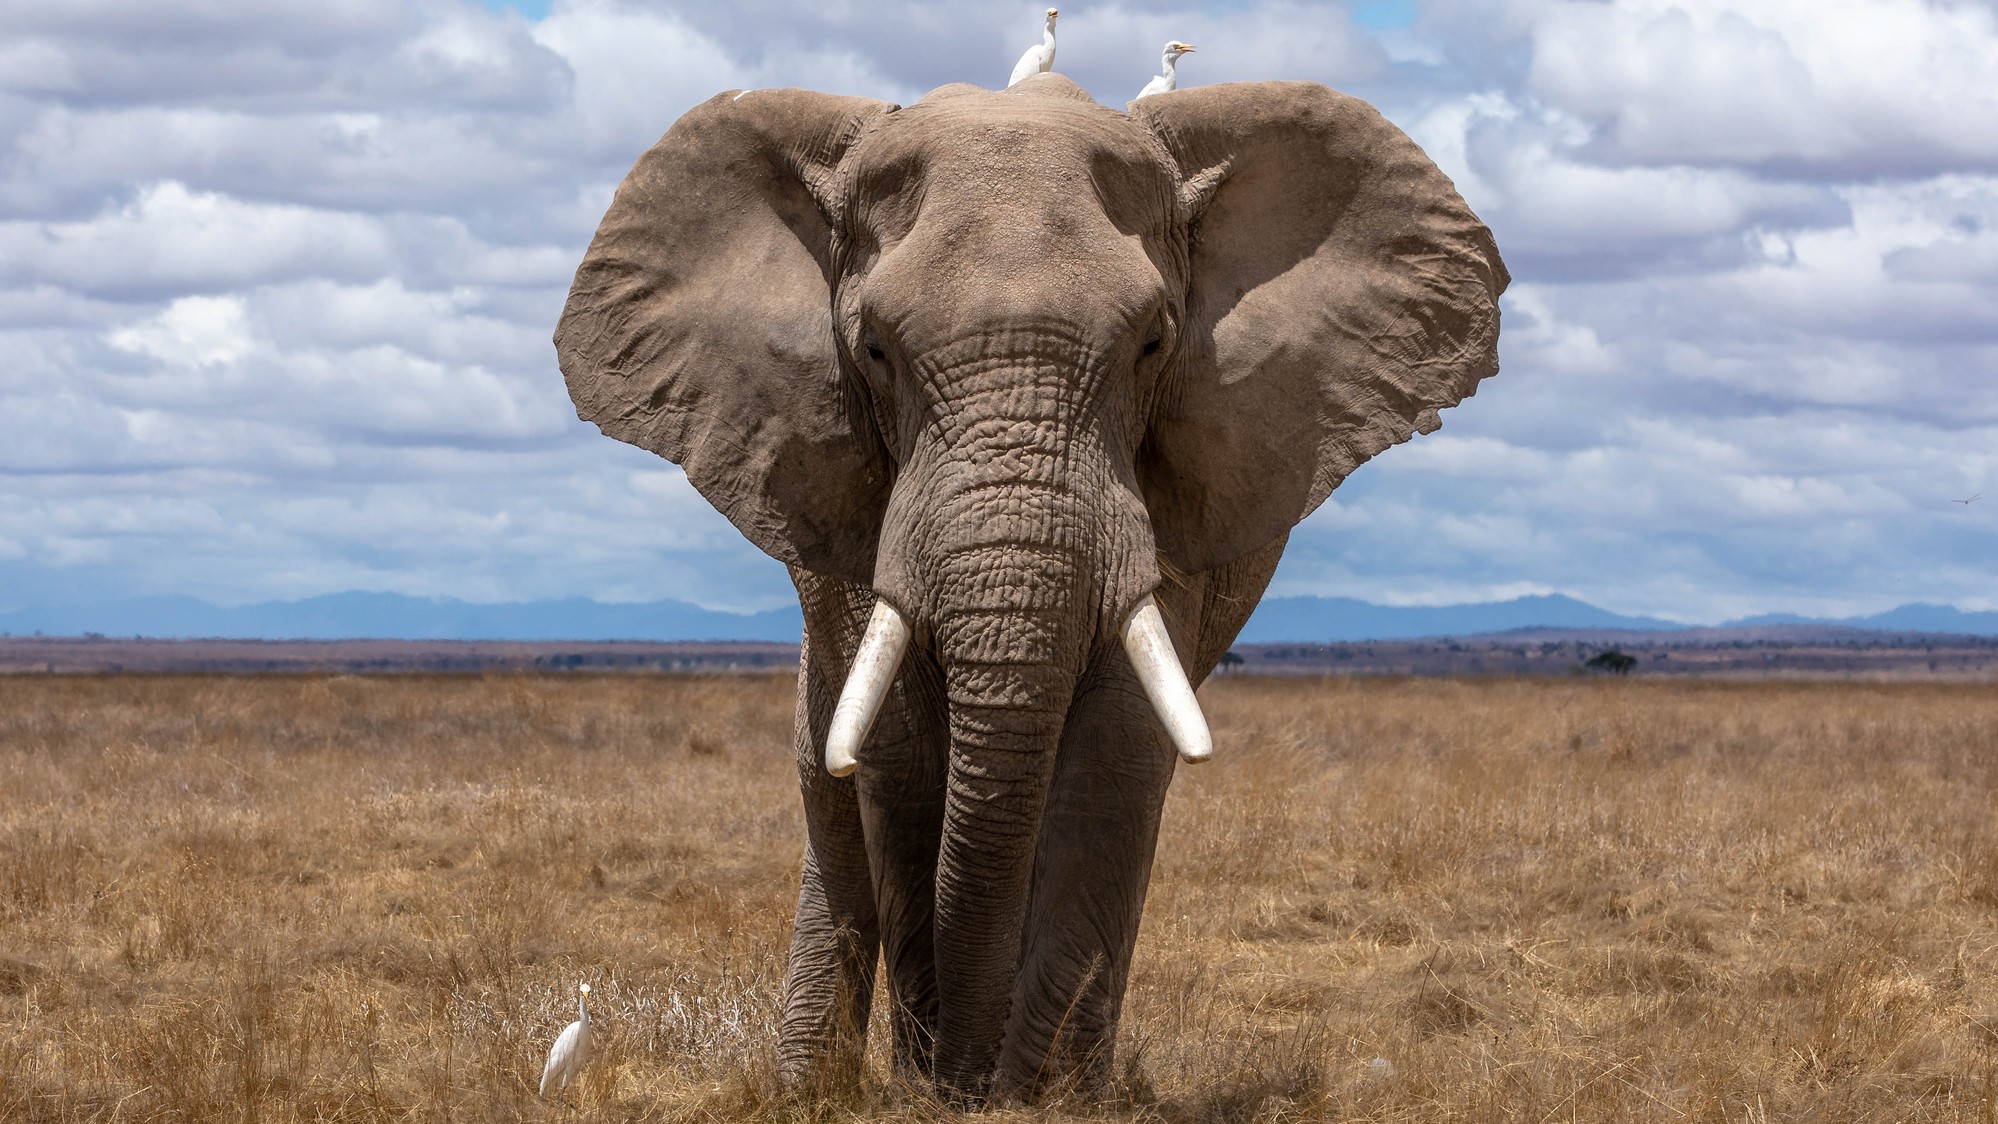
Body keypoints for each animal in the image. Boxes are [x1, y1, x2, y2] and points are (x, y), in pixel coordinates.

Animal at [553, 73, 1507, 1101]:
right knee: (830, 790)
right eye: (874, 350)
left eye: (1154, 344)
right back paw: (809, 1089)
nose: (961, 1080)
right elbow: (898, 758)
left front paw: (1035, 1097)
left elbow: (1115, 754)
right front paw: (940, 1088)